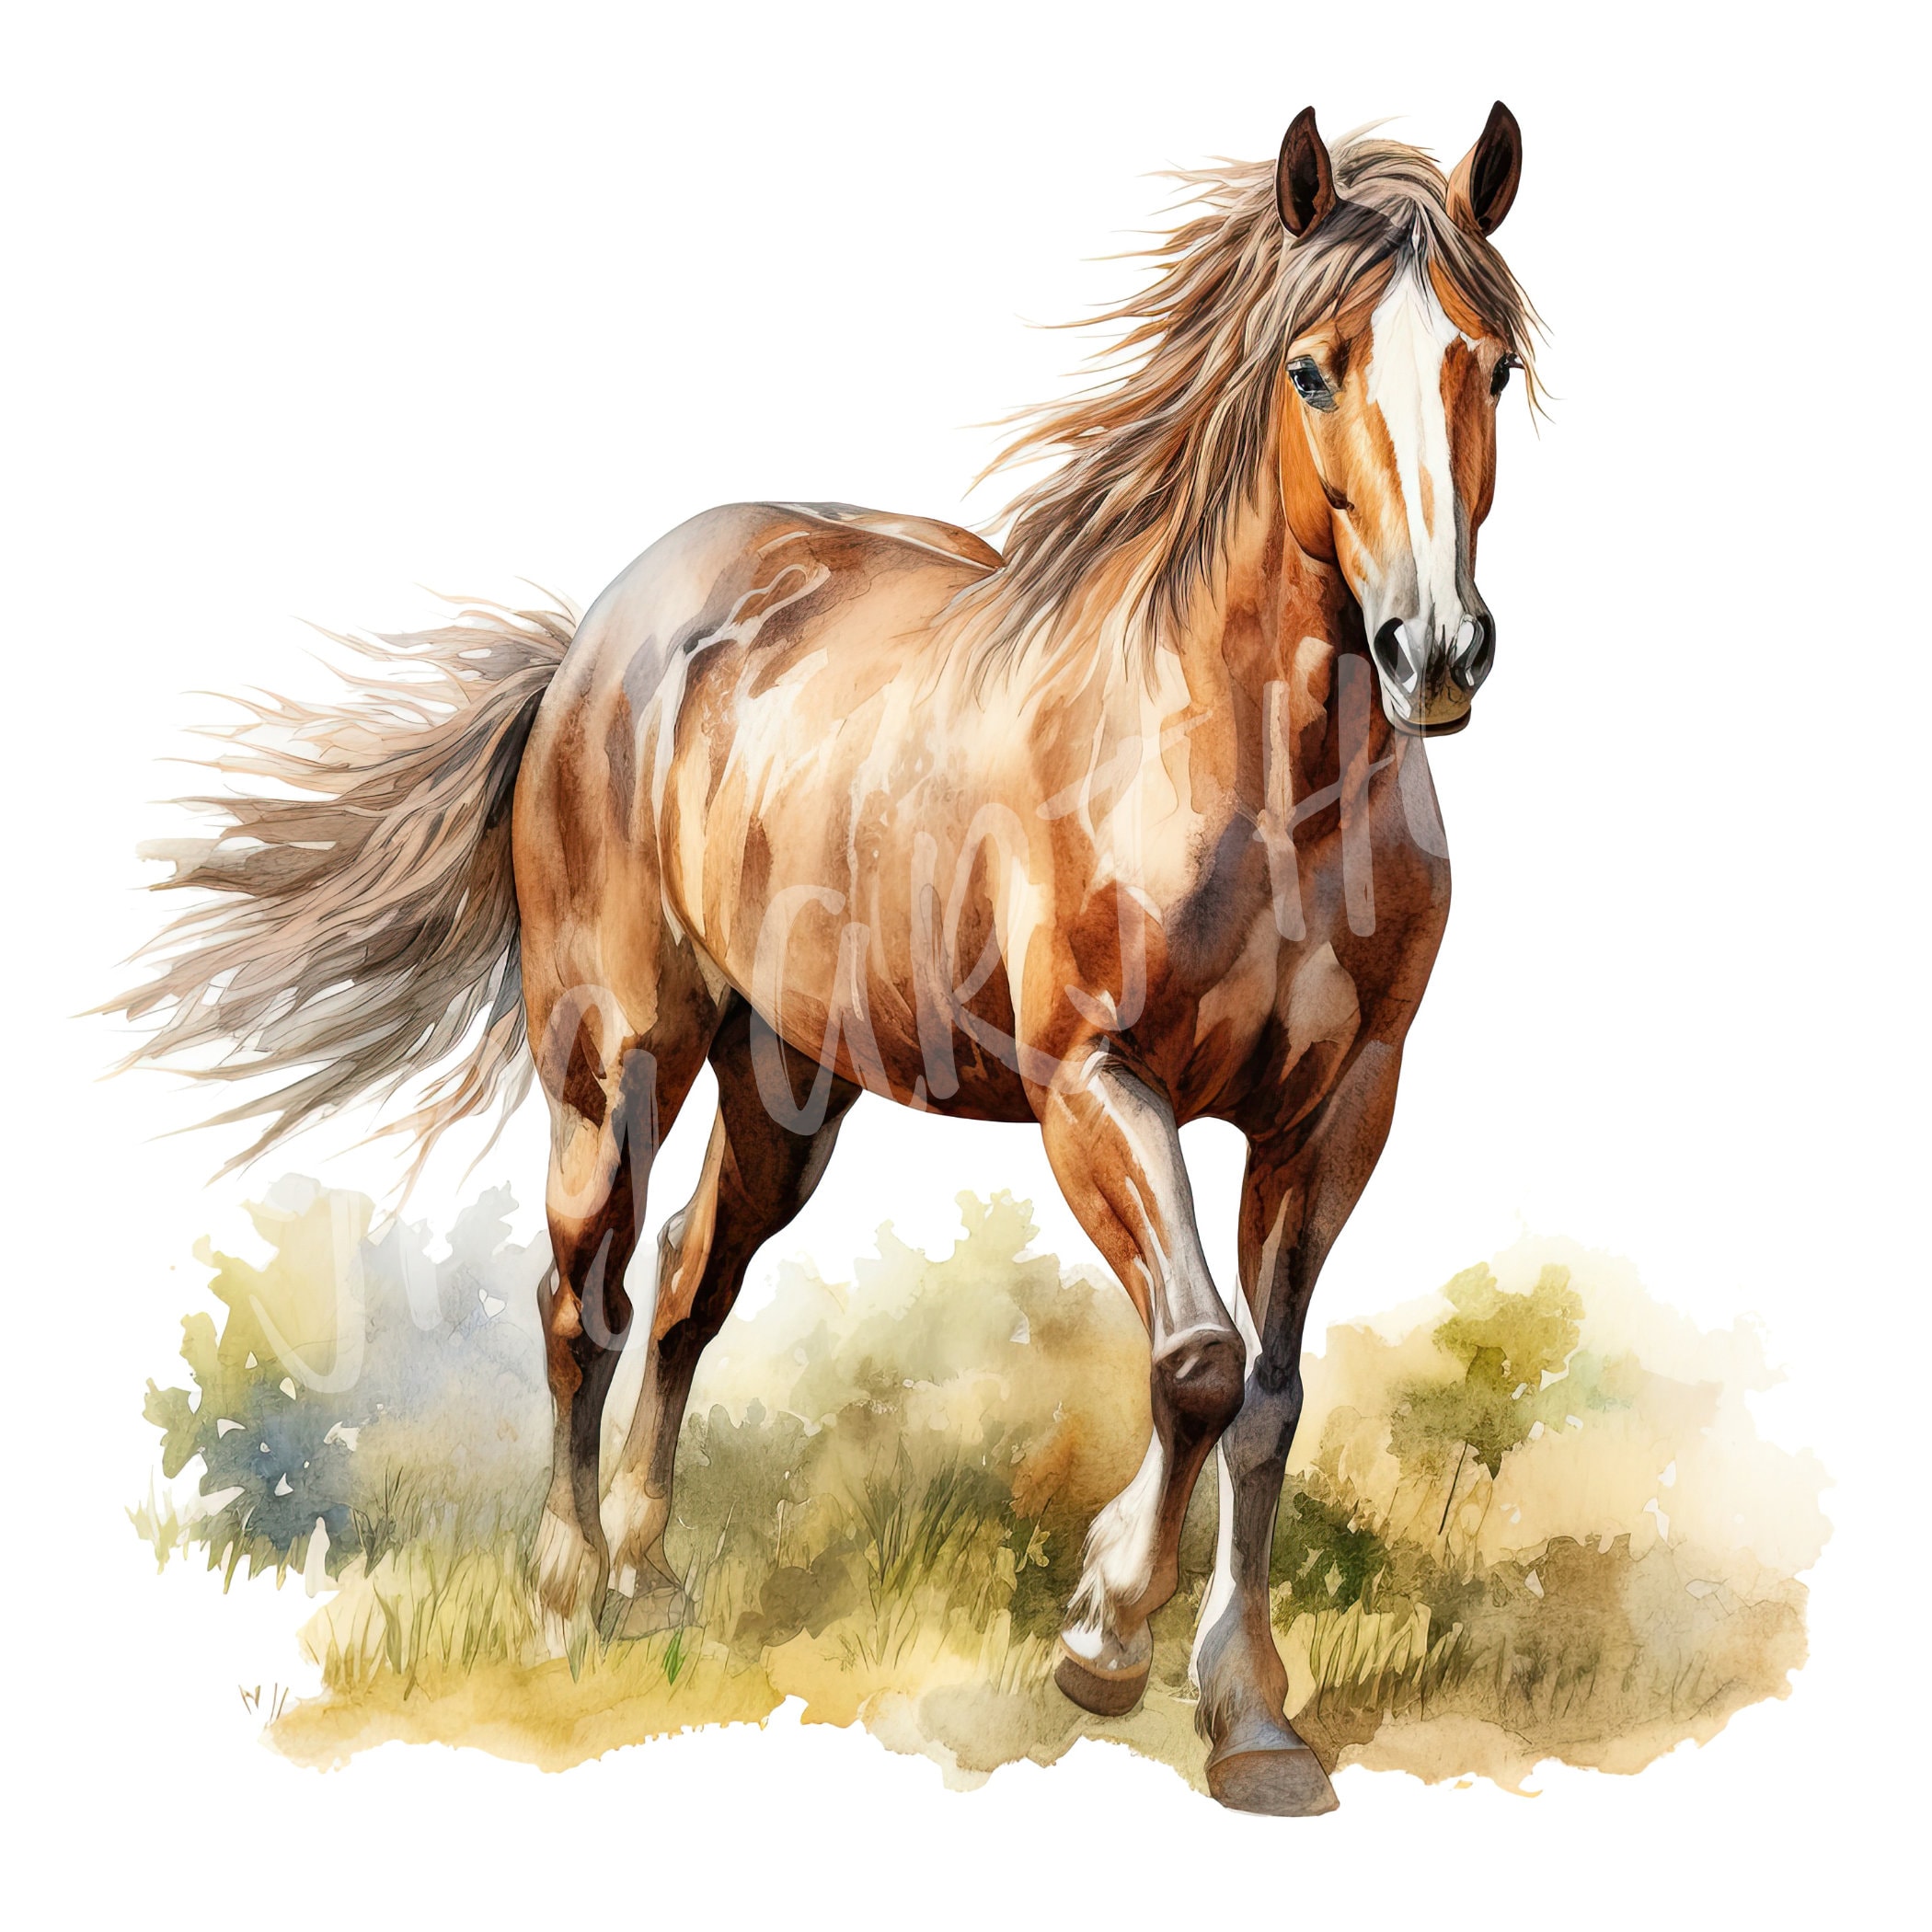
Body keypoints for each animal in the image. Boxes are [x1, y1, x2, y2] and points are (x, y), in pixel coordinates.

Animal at [115, 104, 1537, 1815]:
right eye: (1315, 369)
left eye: (1492, 368)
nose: (1435, 652)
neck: (1255, 776)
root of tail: (599, 639)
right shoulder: (1094, 1086)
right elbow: (1197, 1363)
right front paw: (1104, 1636)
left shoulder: (1332, 1118)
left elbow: (1268, 1395)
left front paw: (1250, 1716)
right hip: (616, 1061)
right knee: (584, 1300)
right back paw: (563, 1599)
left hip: (784, 1091)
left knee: (685, 1289)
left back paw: (652, 1583)